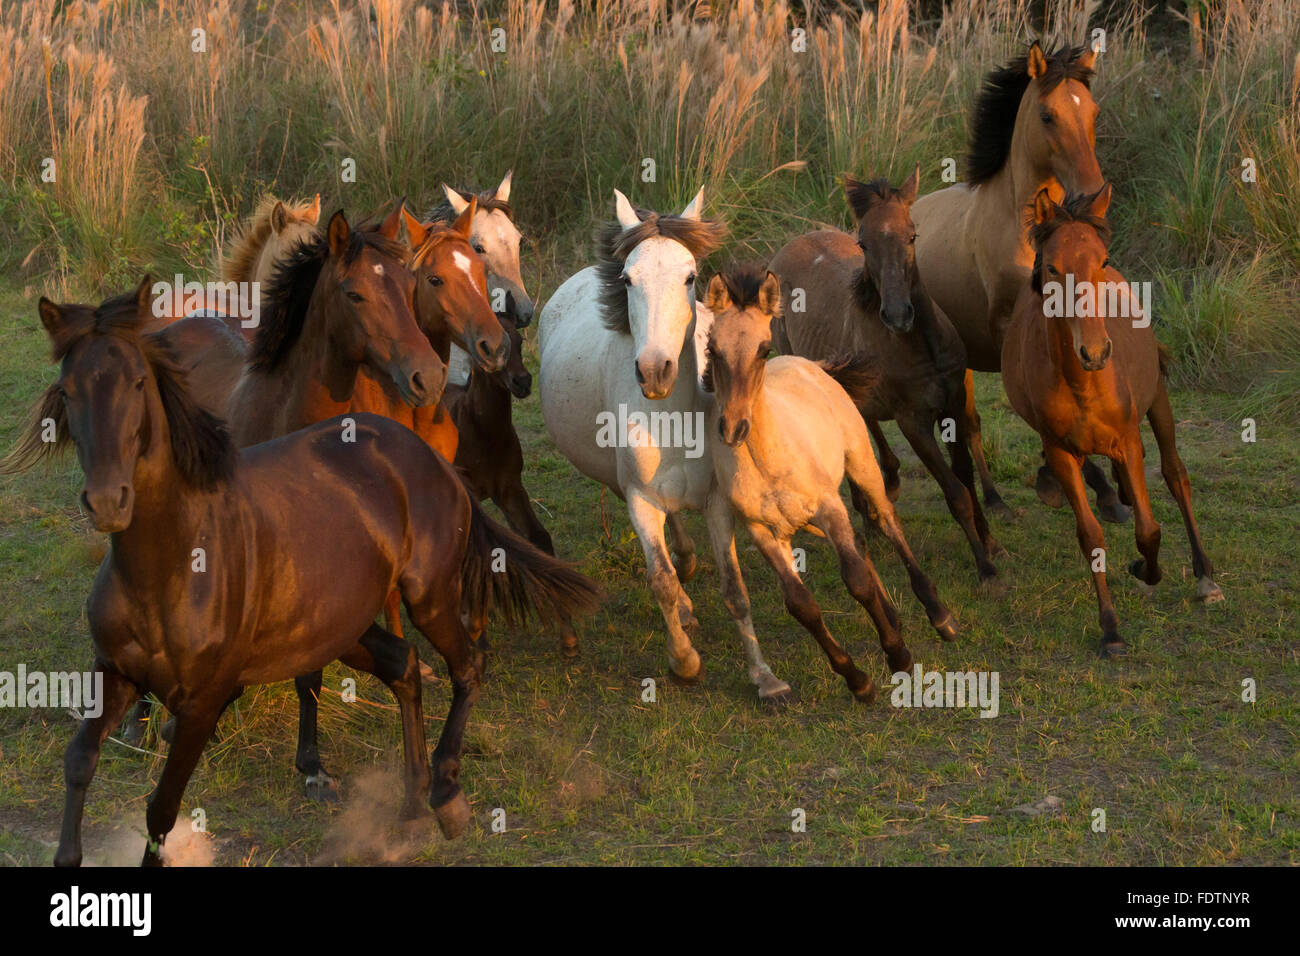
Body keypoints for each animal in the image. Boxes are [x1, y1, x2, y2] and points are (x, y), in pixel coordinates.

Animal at [2, 280, 599, 866]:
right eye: (67, 390)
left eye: (137, 383)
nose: (108, 501)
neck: (169, 568)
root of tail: (434, 462)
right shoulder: (114, 671)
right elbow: (79, 761)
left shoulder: (202, 702)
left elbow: (162, 810)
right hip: (340, 626)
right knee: (403, 664)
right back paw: (409, 809)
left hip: (427, 596)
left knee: (467, 665)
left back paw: (445, 796)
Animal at [699, 266, 957, 700]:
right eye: (712, 348)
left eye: (762, 350)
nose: (733, 428)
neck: (768, 460)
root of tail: (811, 364)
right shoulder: (762, 531)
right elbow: (801, 604)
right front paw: (858, 681)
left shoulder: (828, 506)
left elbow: (856, 581)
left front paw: (898, 656)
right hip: (806, 522)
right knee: (862, 542)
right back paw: (893, 617)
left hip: (861, 466)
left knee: (887, 523)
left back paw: (939, 617)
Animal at [770, 167, 1002, 585]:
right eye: (863, 244)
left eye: (912, 235)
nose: (897, 314)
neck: (922, 346)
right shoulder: (912, 421)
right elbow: (955, 492)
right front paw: (986, 567)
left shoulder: (953, 403)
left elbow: (965, 475)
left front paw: (991, 543)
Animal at [907, 40, 1127, 522]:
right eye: (1047, 115)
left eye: (1094, 112)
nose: (1092, 191)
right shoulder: (1012, 327)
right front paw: (1088, 487)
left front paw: (1110, 489)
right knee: (967, 425)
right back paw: (992, 500)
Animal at [1001, 185, 1224, 658]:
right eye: (1052, 267)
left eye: (1101, 261)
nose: (1096, 352)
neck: (1082, 384)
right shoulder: (1060, 450)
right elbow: (1091, 537)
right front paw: (1111, 631)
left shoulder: (1128, 440)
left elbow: (1150, 530)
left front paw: (1146, 570)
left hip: (1158, 401)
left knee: (1176, 475)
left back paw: (1205, 577)